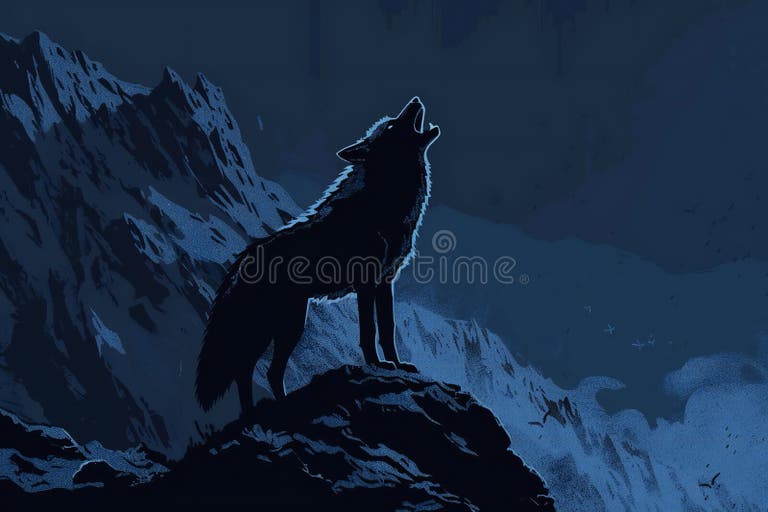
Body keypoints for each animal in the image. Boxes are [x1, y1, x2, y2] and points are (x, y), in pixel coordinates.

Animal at [195, 97, 440, 413]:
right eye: (391, 125)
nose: (415, 100)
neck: (384, 202)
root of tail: (241, 261)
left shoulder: (386, 281)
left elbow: (388, 329)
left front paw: (397, 365)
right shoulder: (366, 283)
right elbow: (369, 331)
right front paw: (377, 365)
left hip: (288, 325)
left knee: (267, 372)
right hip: (274, 328)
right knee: (247, 369)